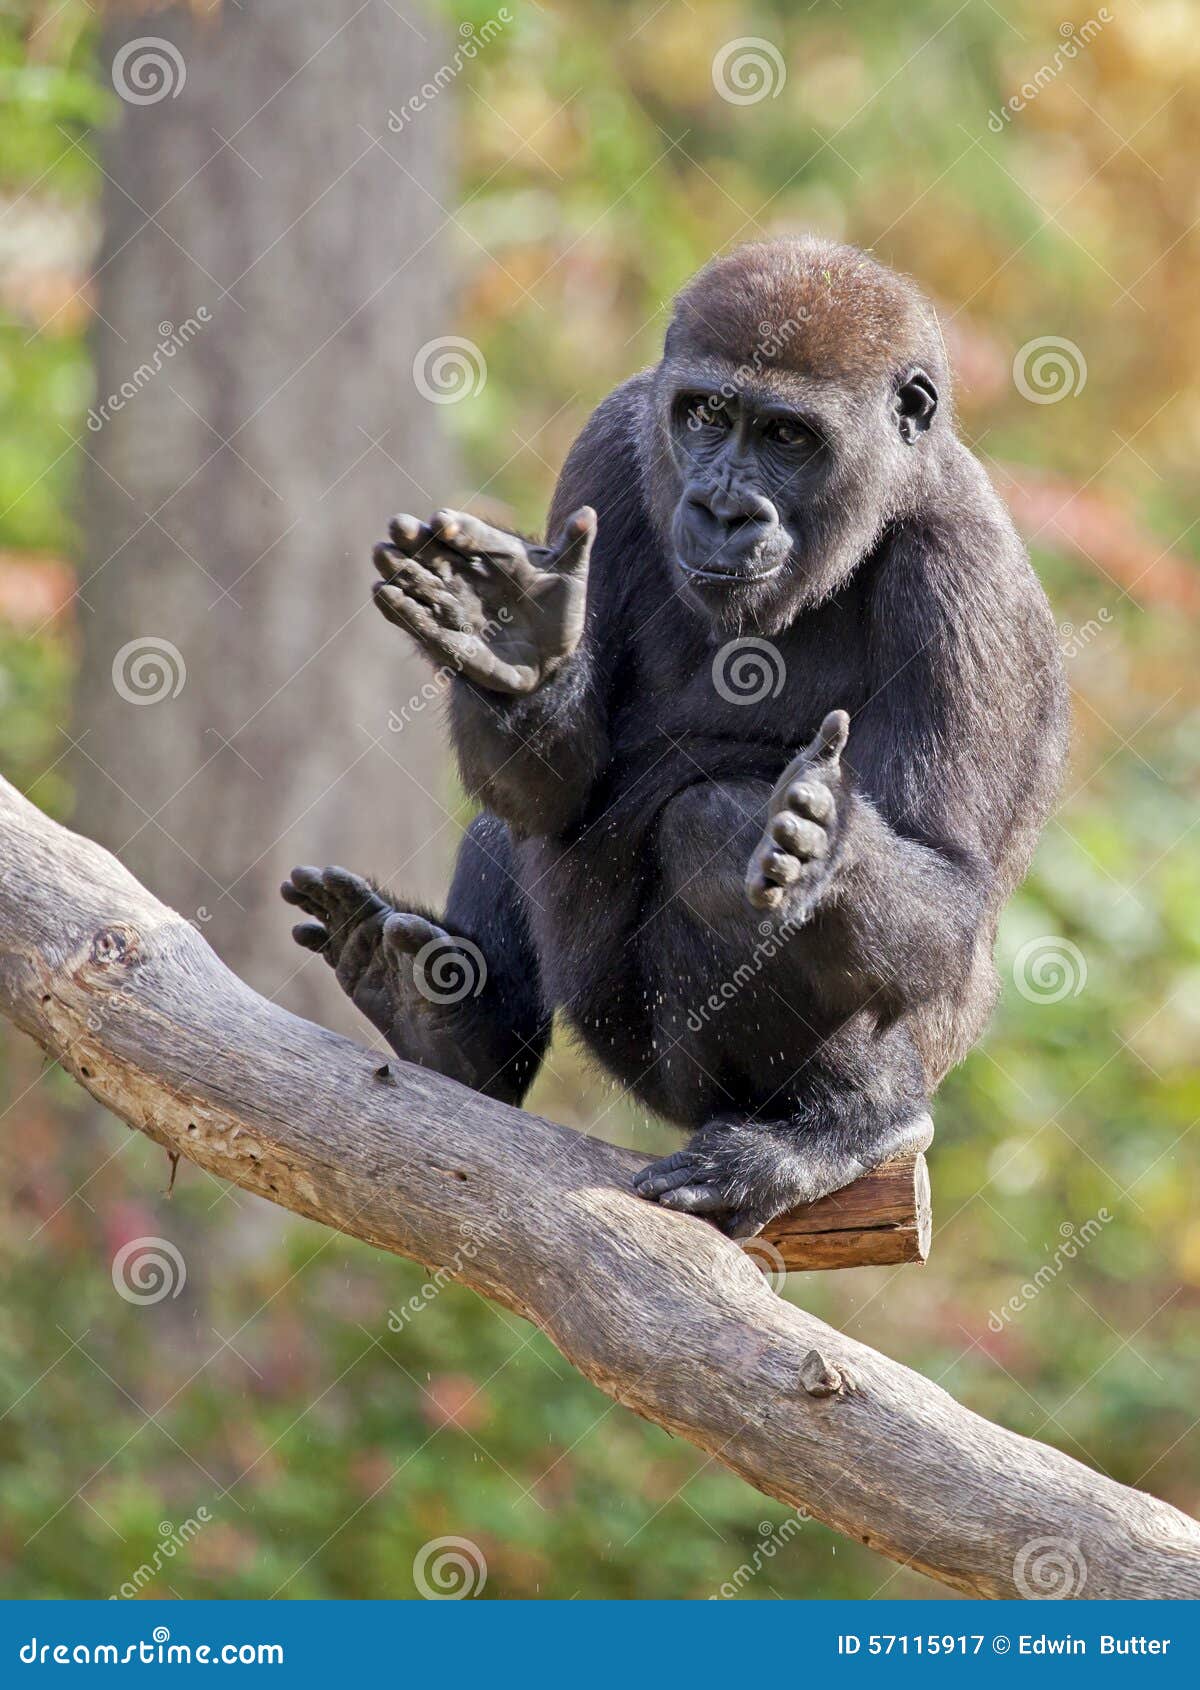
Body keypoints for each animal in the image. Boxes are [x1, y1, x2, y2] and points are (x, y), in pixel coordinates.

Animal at [282, 236, 1068, 1239]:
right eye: (706, 416)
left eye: (787, 438)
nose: (723, 510)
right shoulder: (615, 435)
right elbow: (555, 788)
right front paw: (514, 649)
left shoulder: (966, 576)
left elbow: (953, 892)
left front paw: (833, 844)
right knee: (524, 825)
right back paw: (446, 1028)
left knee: (712, 834)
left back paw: (841, 1126)